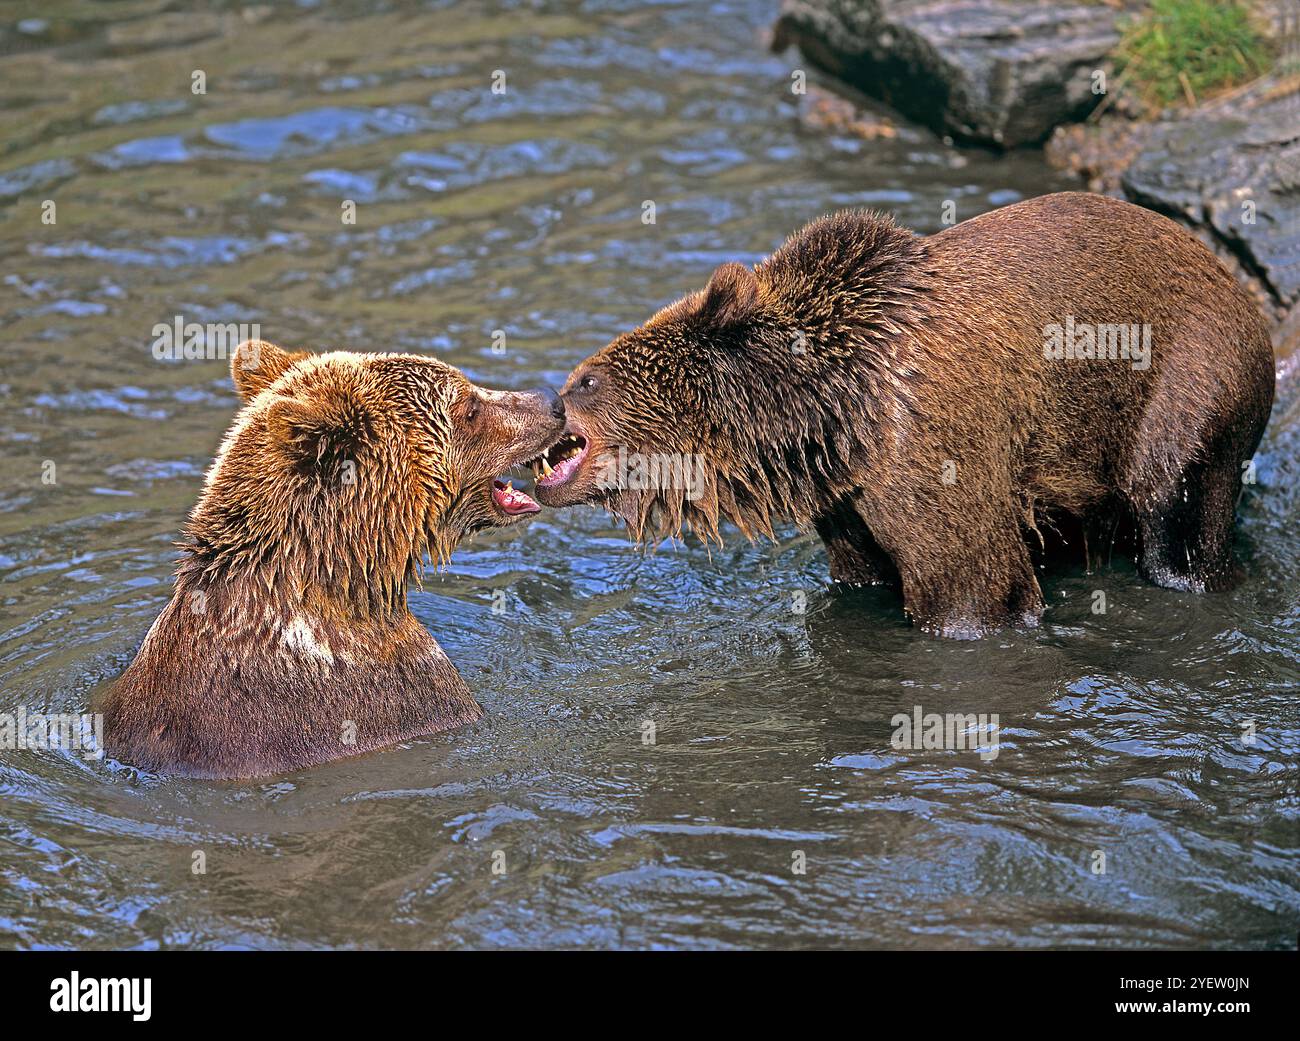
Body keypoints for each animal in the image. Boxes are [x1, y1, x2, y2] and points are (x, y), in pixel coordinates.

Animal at [533, 192, 1275, 639]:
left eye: (588, 380)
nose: (555, 395)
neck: (827, 411)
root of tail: (1229, 277)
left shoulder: (929, 450)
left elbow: (971, 586)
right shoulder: (845, 495)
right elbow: (863, 573)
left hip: (1182, 384)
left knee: (1177, 515)